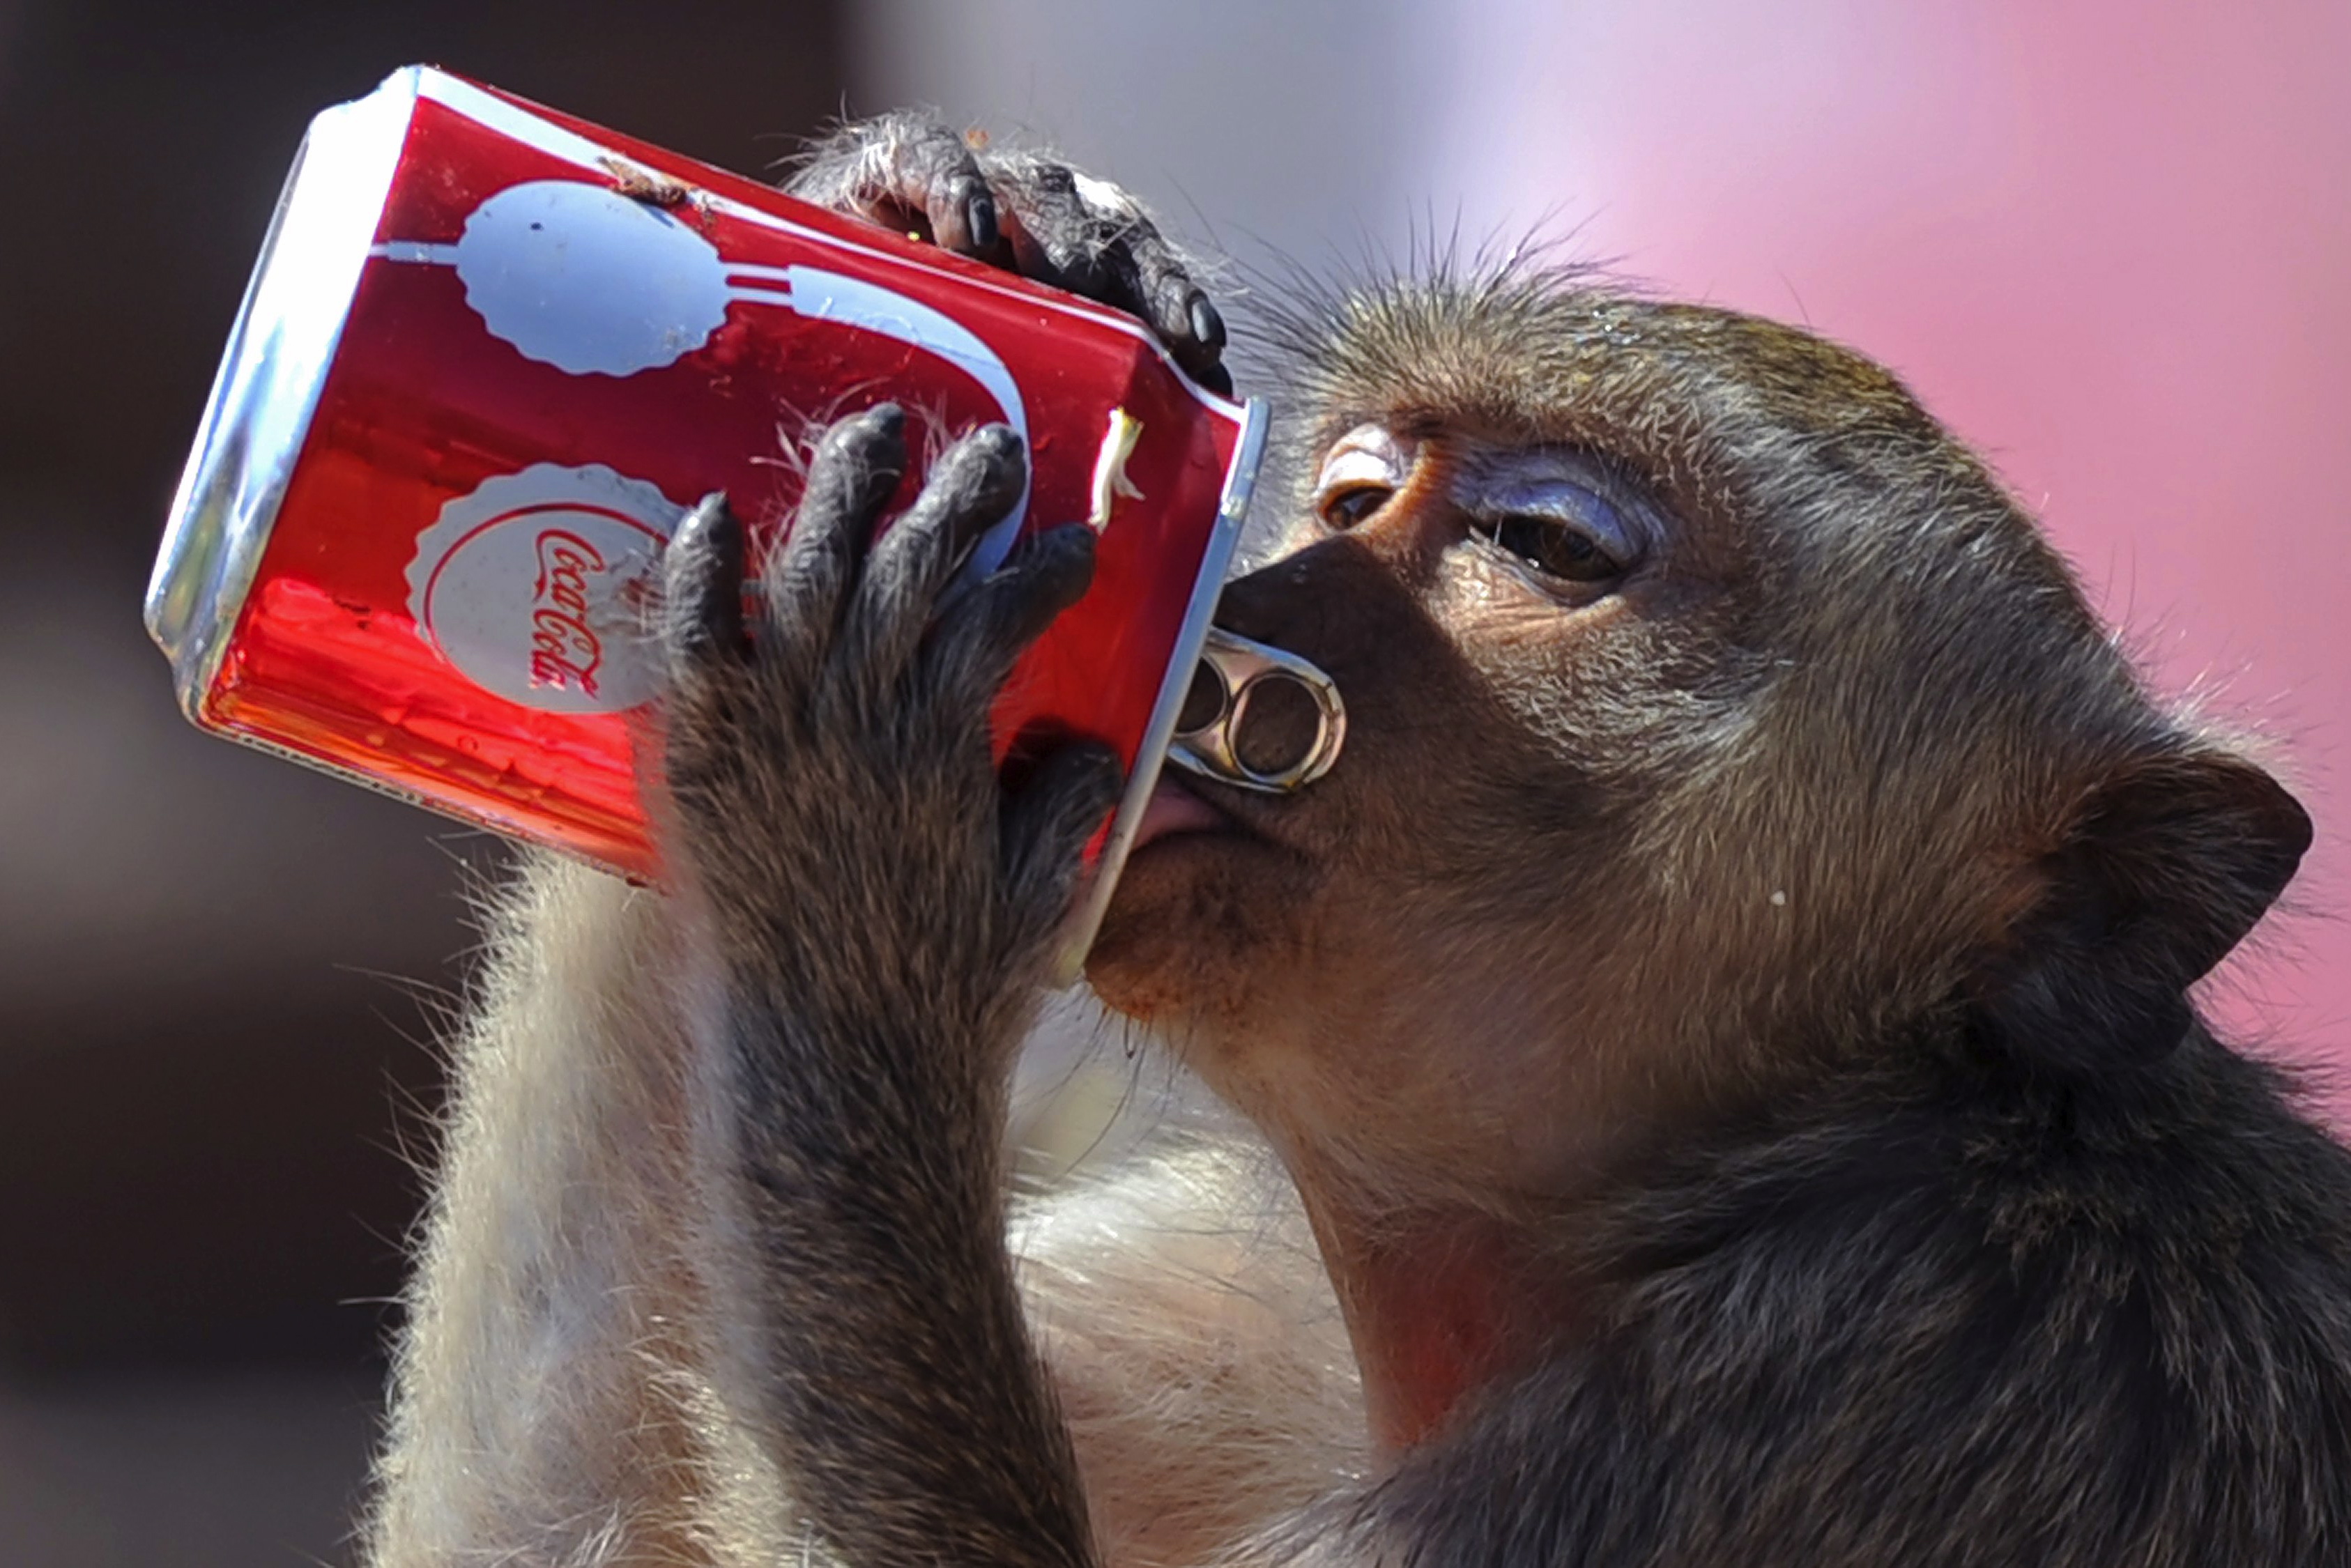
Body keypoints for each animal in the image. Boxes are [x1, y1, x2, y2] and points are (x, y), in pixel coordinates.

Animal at [359, 112, 2347, 1568]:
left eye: (1545, 544)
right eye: (1349, 495)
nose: (1243, 606)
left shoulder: (1848, 1390)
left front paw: (854, 872)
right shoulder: (1234, 1330)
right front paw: (938, 233)